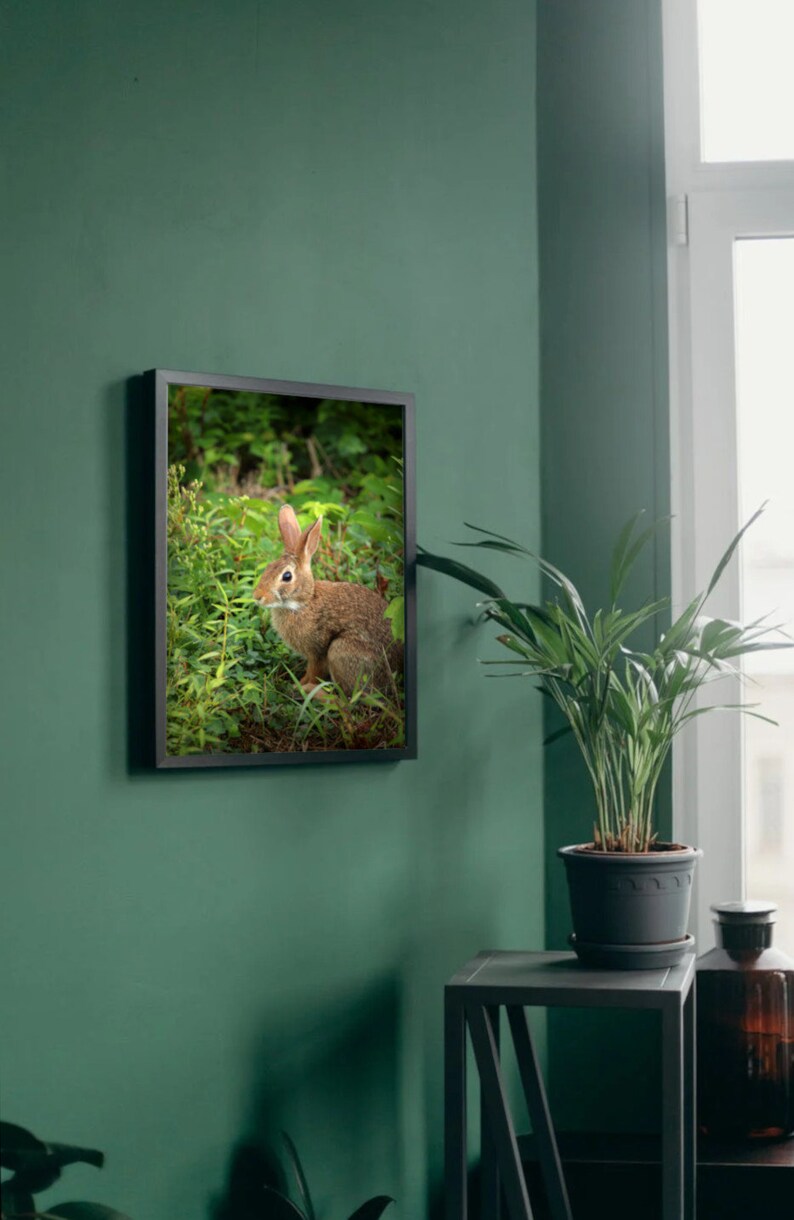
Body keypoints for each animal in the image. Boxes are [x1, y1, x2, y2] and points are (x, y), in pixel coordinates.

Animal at [253, 504, 404, 696]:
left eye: (287, 576)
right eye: (268, 568)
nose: (257, 596)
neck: (304, 602)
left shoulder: (317, 652)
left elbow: (313, 672)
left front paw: (299, 685)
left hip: (340, 651)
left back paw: (312, 692)